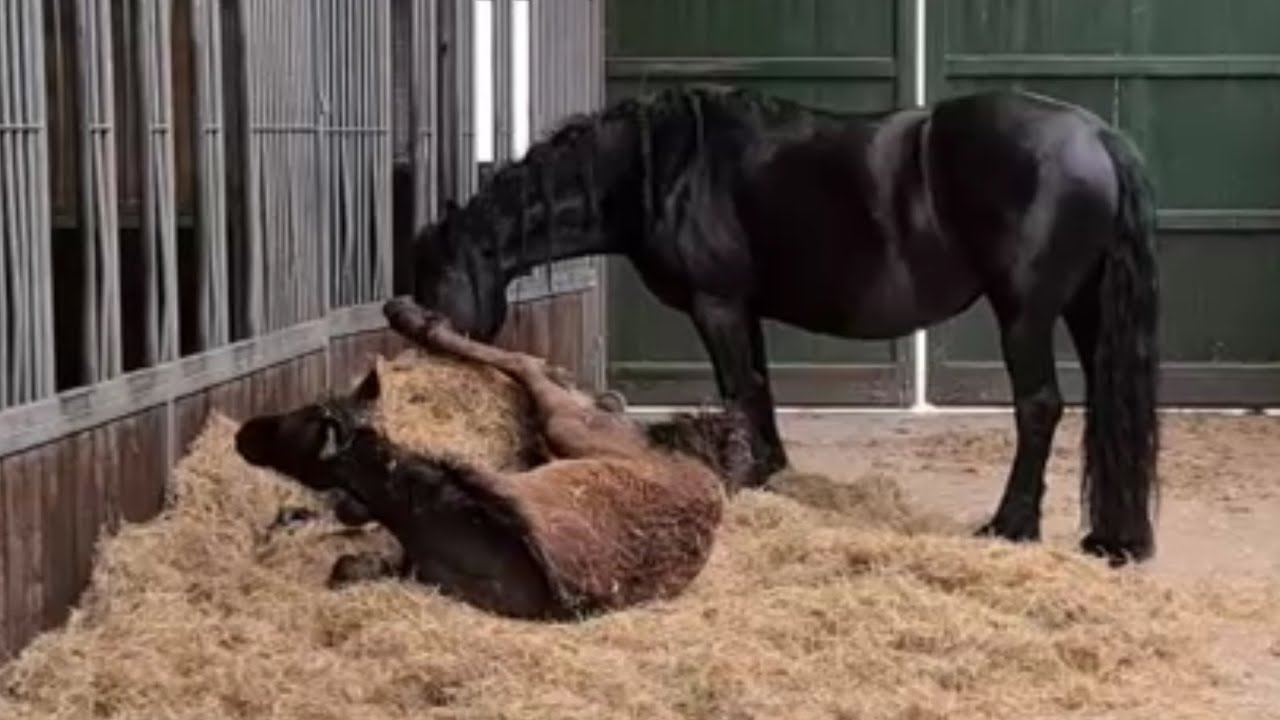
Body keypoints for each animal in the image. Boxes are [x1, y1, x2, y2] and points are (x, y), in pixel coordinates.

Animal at [235, 297, 750, 620]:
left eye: (298, 424)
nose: (243, 435)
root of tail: (701, 467)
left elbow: (345, 558)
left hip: (570, 428)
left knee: (530, 367)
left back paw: (408, 315)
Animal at [404, 83, 1160, 566]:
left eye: (434, 277)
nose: (411, 336)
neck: (661, 170)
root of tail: (1096, 135)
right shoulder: (744, 310)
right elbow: (760, 391)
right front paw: (769, 471)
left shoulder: (718, 305)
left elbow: (740, 391)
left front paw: (743, 477)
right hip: (1085, 306)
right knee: (1106, 407)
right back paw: (1110, 538)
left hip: (1025, 313)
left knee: (1040, 408)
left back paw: (1011, 527)